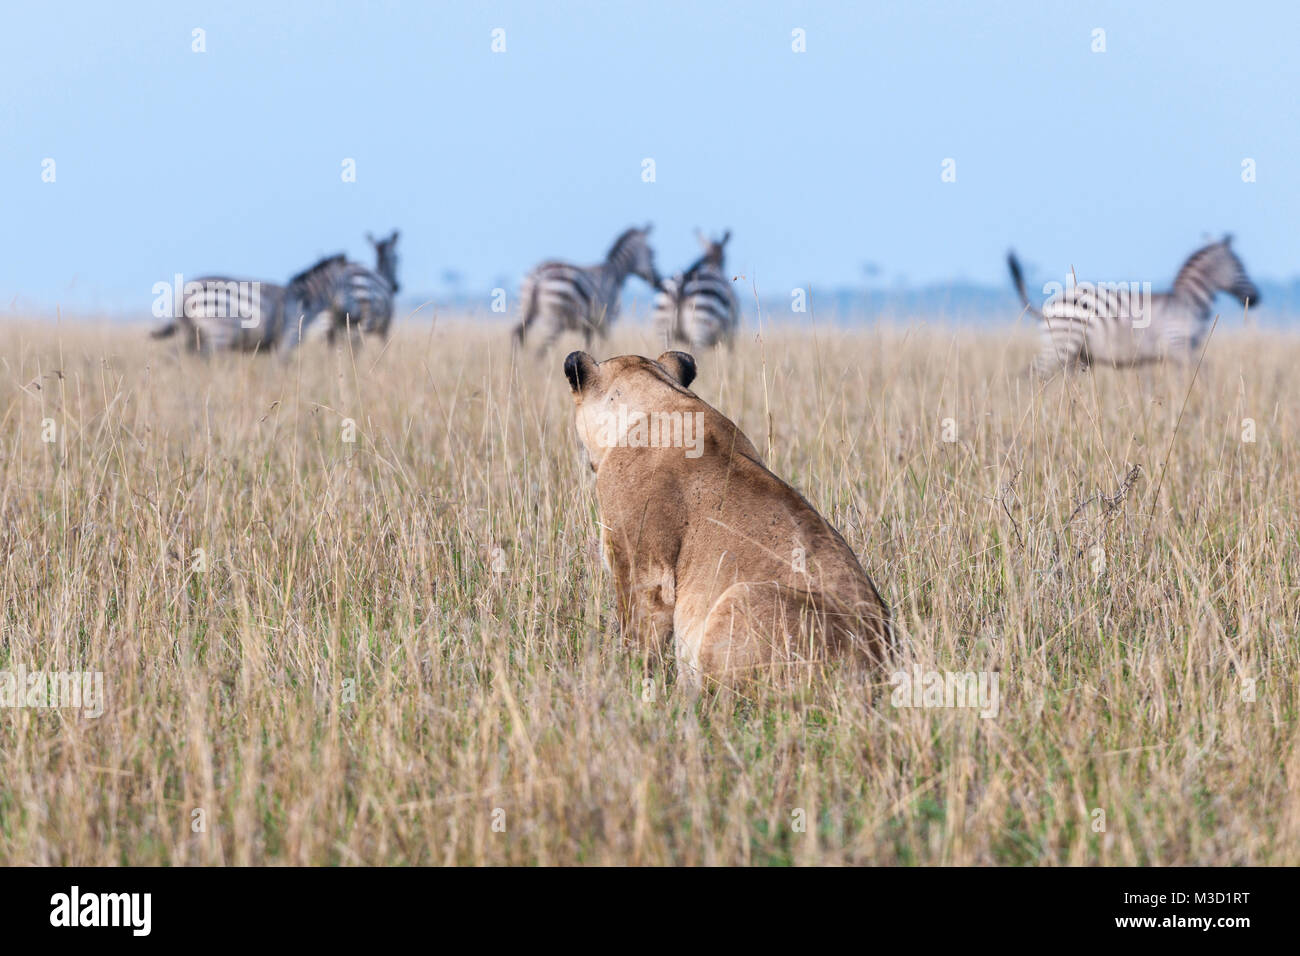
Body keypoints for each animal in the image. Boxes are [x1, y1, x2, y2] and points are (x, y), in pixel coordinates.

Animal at [513, 224, 660, 351]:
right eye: (652, 253)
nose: (658, 281)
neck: (615, 274)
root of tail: (539, 274)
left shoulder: (589, 327)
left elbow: (589, 348)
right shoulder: (606, 322)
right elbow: (605, 347)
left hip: (525, 307)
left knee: (517, 334)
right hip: (556, 320)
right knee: (542, 349)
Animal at [1008, 235, 1260, 374]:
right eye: (1239, 265)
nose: (1256, 298)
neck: (1187, 303)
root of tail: (1046, 305)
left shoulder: (1178, 352)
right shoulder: (1178, 344)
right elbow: (1203, 372)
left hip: (1074, 353)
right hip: (1061, 344)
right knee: (1032, 374)